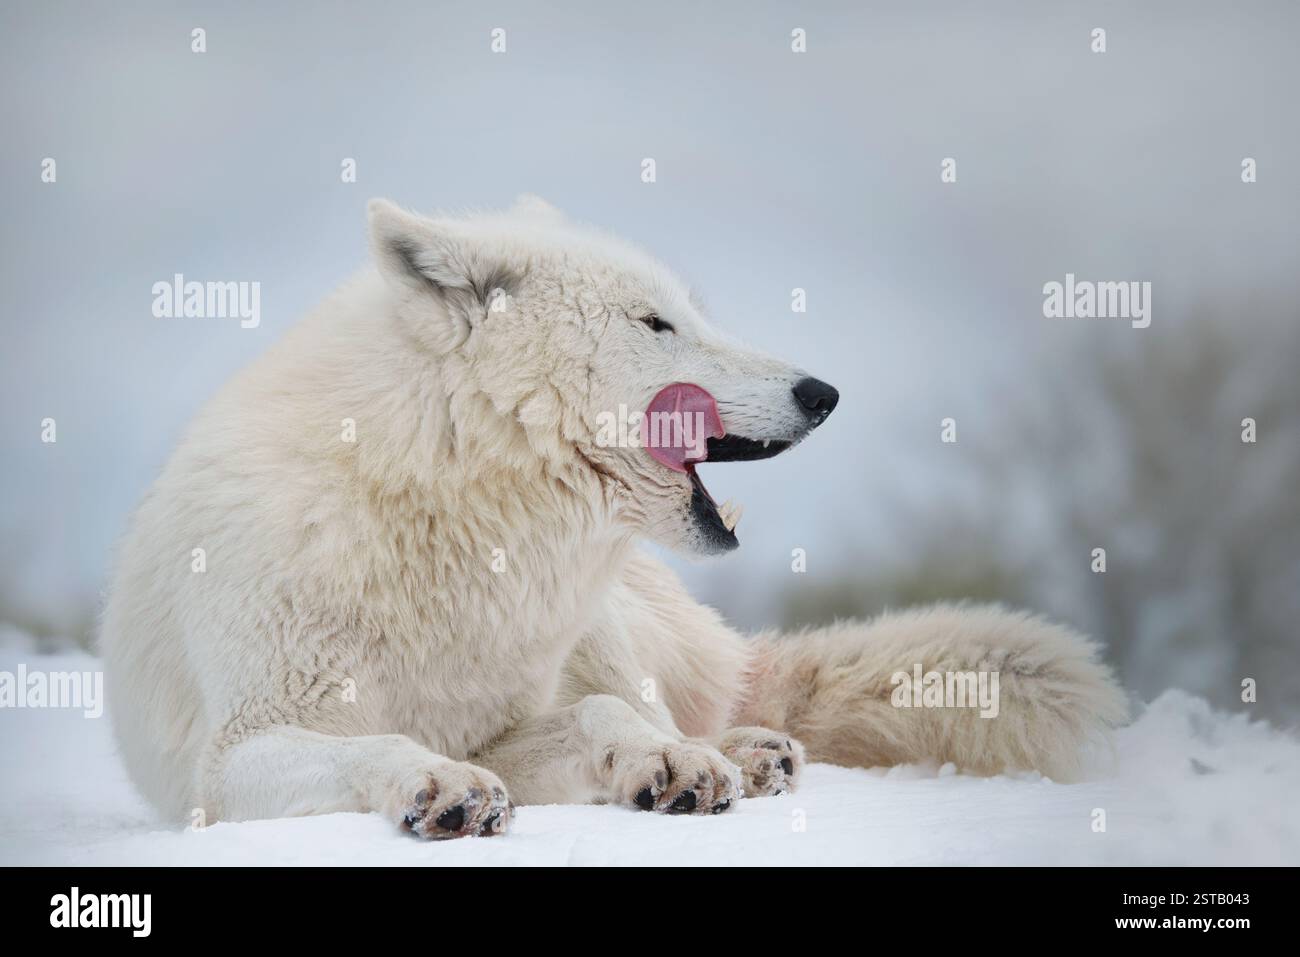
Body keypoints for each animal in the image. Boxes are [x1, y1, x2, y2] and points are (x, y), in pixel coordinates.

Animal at [100, 197, 1126, 838]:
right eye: (656, 324)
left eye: (689, 315)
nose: (823, 391)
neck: (434, 499)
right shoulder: (230, 761)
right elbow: (391, 743)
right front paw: (442, 784)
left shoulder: (514, 712)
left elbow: (599, 713)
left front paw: (664, 763)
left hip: (611, 624)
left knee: (670, 702)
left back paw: (731, 753)